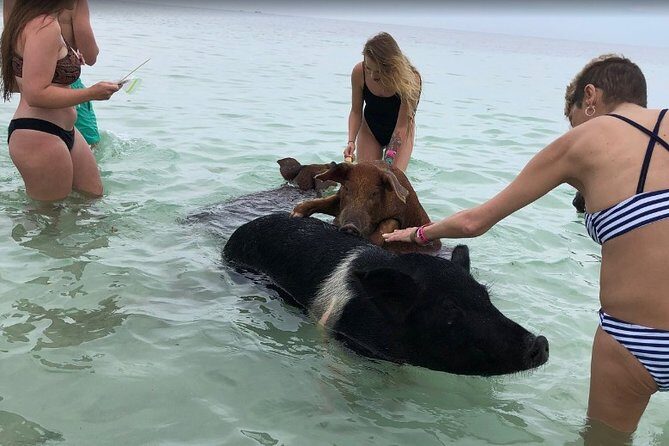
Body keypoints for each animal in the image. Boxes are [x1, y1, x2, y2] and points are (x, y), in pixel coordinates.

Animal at [291, 161, 440, 253]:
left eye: (374, 193)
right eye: (347, 188)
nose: (350, 226)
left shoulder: (399, 216)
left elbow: (389, 223)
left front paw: (369, 242)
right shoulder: (339, 203)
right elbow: (323, 201)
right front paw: (294, 214)